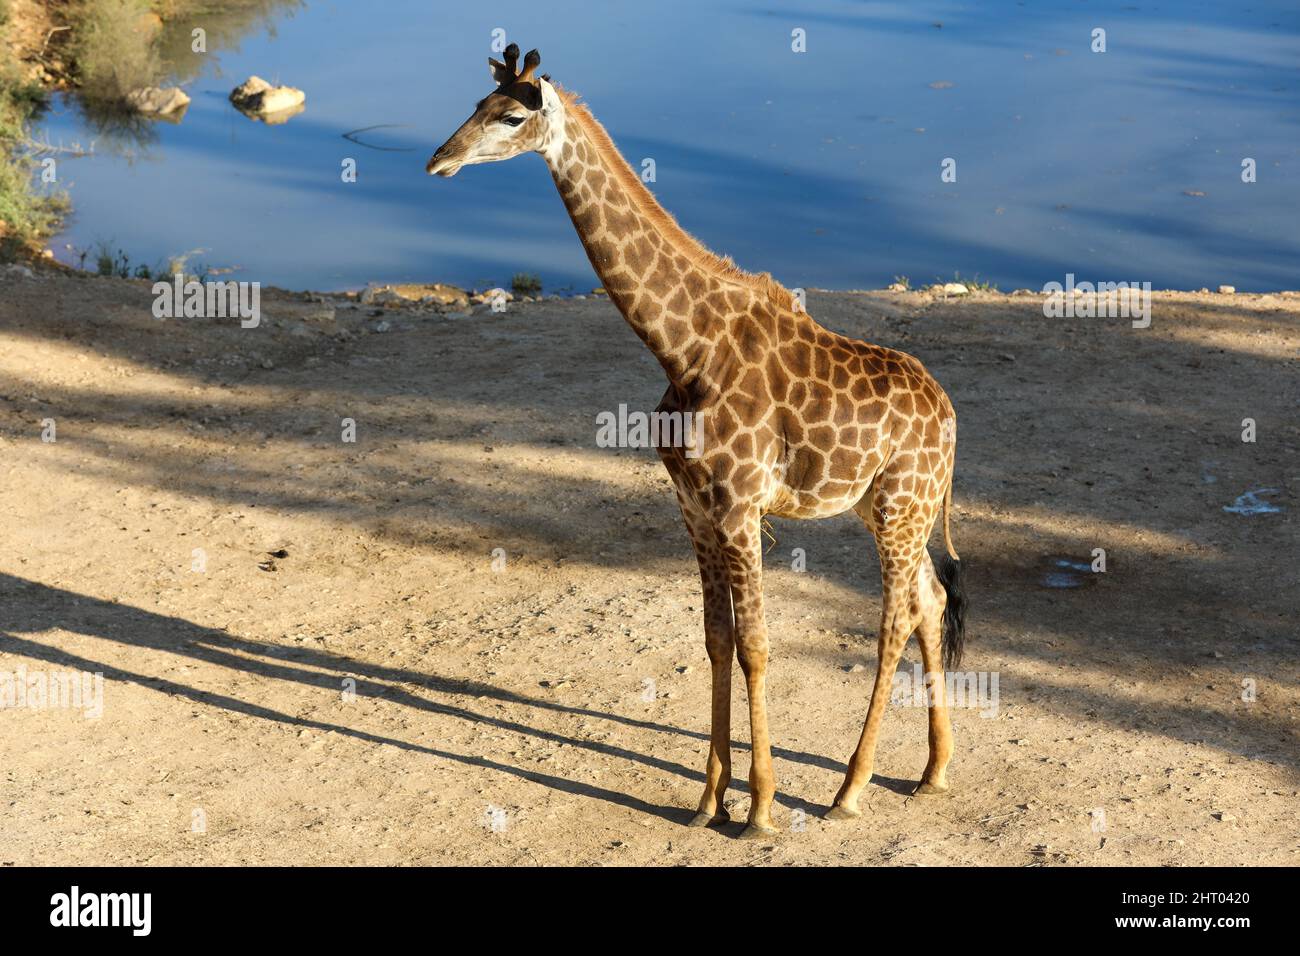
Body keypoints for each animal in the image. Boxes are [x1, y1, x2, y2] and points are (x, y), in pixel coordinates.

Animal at [427, 45, 968, 837]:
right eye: (473, 104)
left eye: (511, 115)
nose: (439, 158)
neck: (682, 348)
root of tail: (950, 414)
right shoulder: (692, 506)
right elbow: (715, 637)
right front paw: (709, 799)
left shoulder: (741, 507)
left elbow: (757, 646)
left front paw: (762, 807)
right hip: (890, 508)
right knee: (929, 598)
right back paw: (931, 771)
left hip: (903, 505)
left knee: (893, 618)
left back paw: (850, 787)